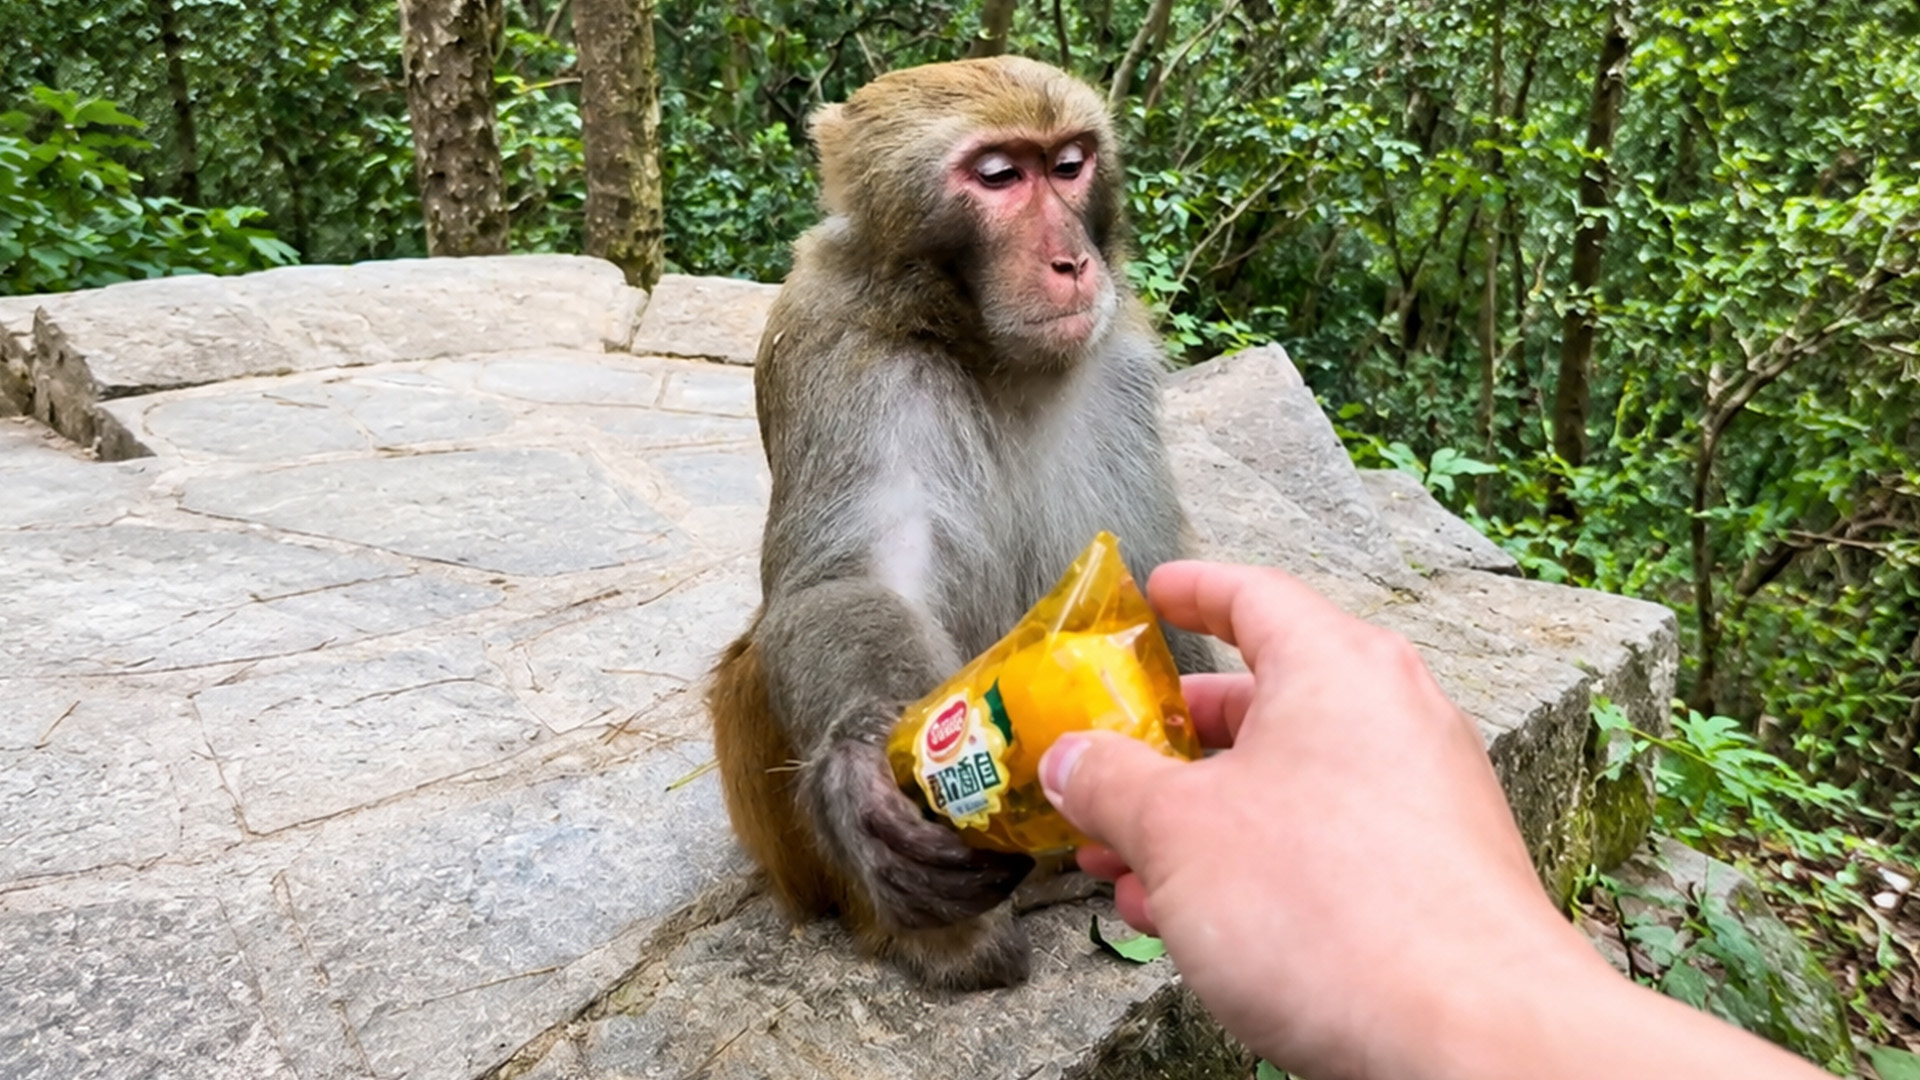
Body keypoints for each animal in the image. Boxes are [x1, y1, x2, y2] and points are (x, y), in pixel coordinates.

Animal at [707, 55, 1215, 992]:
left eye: (1069, 165)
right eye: (1000, 177)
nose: (1070, 261)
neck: (983, 347)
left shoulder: (1119, 359)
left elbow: (1147, 578)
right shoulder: (837, 348)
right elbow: (851, 580)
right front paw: (862, 770)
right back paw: (952, 942)